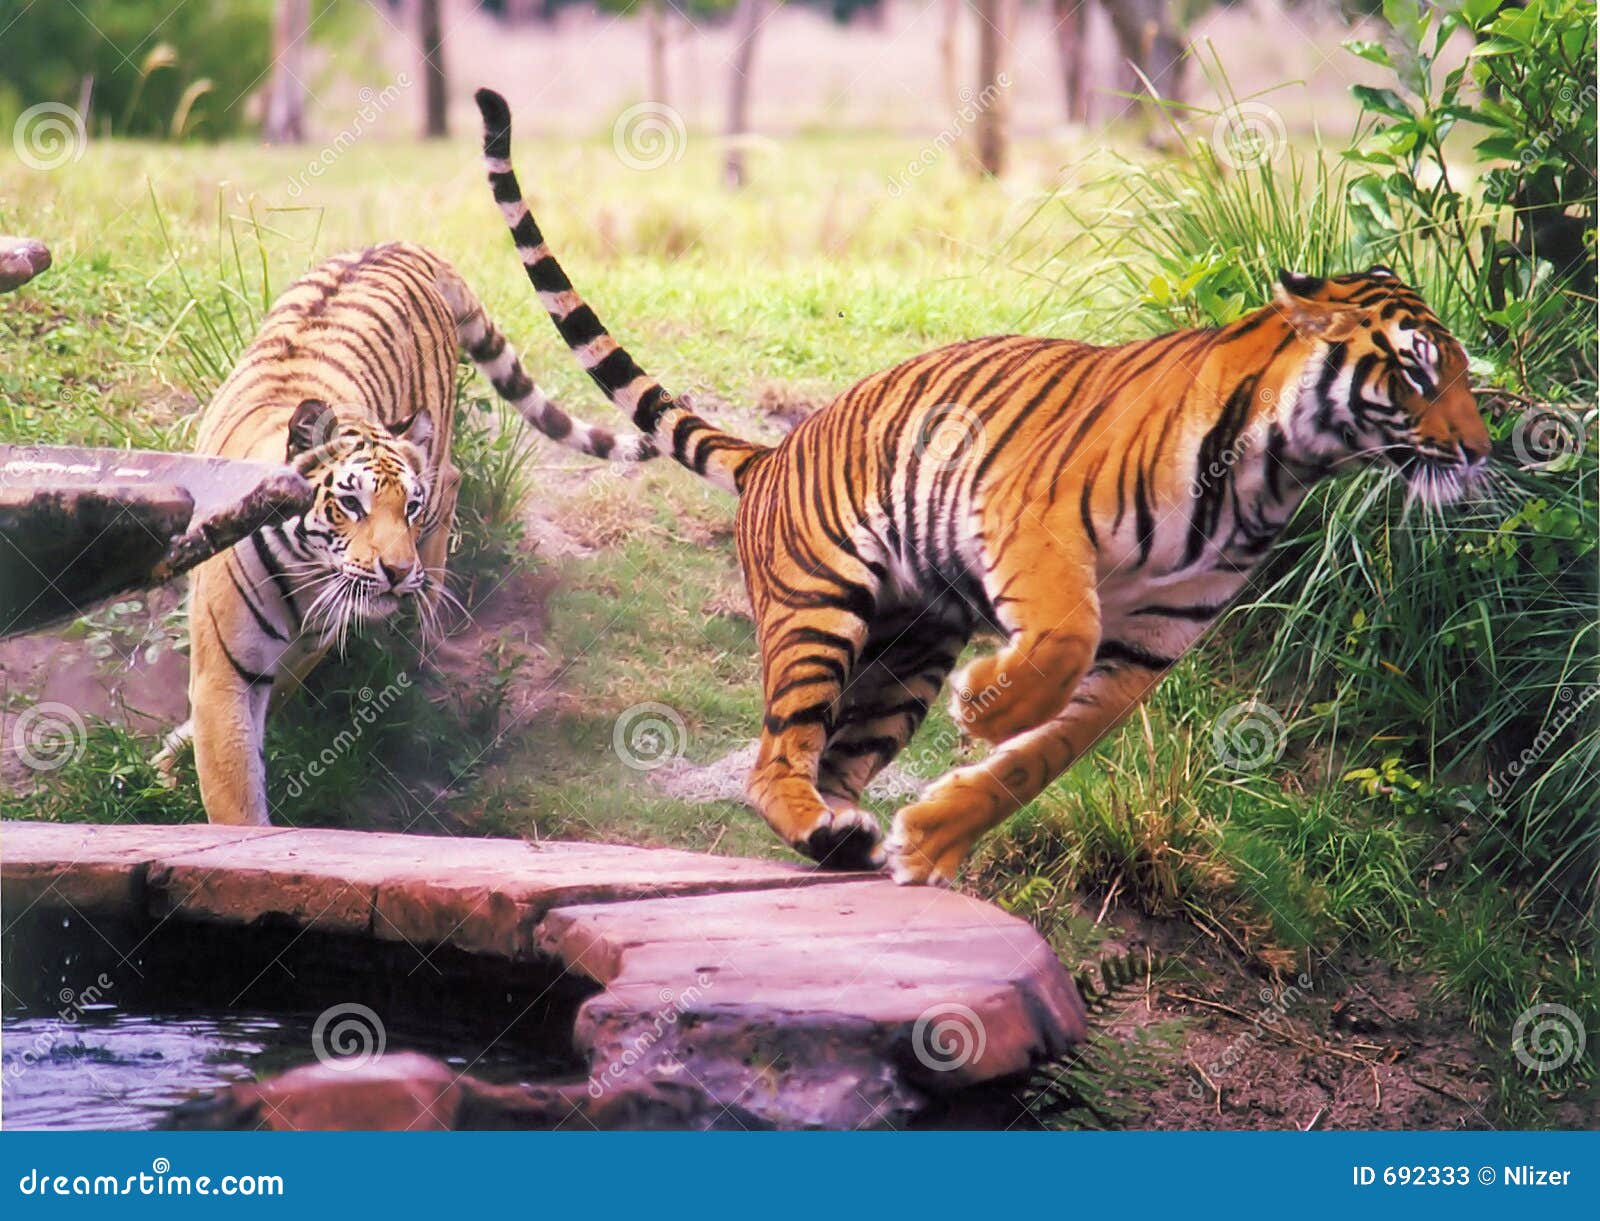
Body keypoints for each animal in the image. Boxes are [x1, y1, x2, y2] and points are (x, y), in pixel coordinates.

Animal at [153, 240, 653, 826]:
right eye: (350, 503)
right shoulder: (228, 669)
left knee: (452, 482)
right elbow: (233, 784)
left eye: (406, 507)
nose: (396, 571)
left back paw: (425, 620)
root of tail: (406, 245)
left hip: (433, 436)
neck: (304, 571)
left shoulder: (308, 641)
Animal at [474, 89, 1492, 886]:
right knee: (775, 754)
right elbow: (1062, 639)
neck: (1277, 471)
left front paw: (932, 837)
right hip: (818, 609)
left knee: (838, 755)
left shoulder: (1150, 647)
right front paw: (988, 704)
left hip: (905, 651)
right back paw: (825, 820)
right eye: (1415, 370)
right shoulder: (1036, 525)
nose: (1483, 449)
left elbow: (1041, 757)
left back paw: (848, 836)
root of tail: (774, 452)